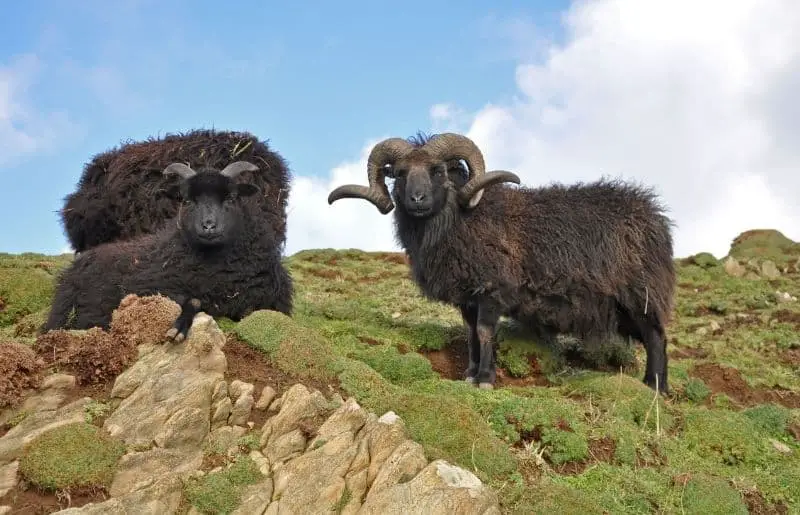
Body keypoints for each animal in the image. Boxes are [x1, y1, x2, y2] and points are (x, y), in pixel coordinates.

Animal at [43, 160, 293, 342]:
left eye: (231, 198)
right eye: (187, 200)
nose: (208, 226)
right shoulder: (153, 288)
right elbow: (194, 300)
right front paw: (178, 327)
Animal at [327, 132, 676, 394]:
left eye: (438, 170)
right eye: (399, 173)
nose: (416, 199)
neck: (464, 219)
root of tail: (655, 217)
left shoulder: (492, 290)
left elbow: (484, 333)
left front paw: (485, 379)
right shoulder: (467, 297)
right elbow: (470, 333)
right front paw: (470, 373)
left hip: (641, 294)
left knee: (657, 337)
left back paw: (655, 387)